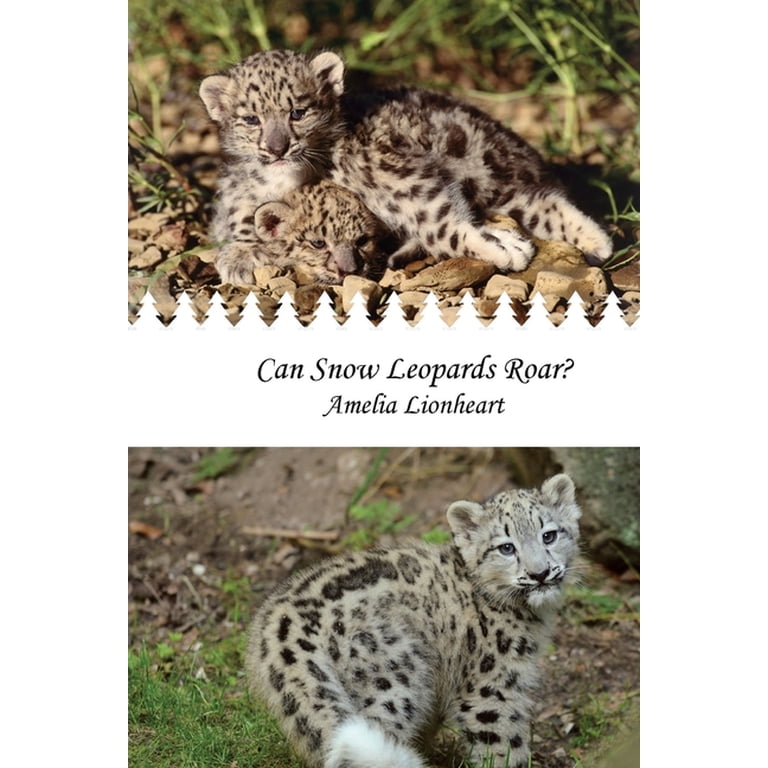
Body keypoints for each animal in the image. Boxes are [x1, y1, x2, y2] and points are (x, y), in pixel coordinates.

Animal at [246, 473, 582, 768]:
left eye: (549, 535)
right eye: (506, 547)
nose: (540, 573)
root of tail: (279, 625)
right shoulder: (492, 687)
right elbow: (503, 744)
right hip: (392, 681)